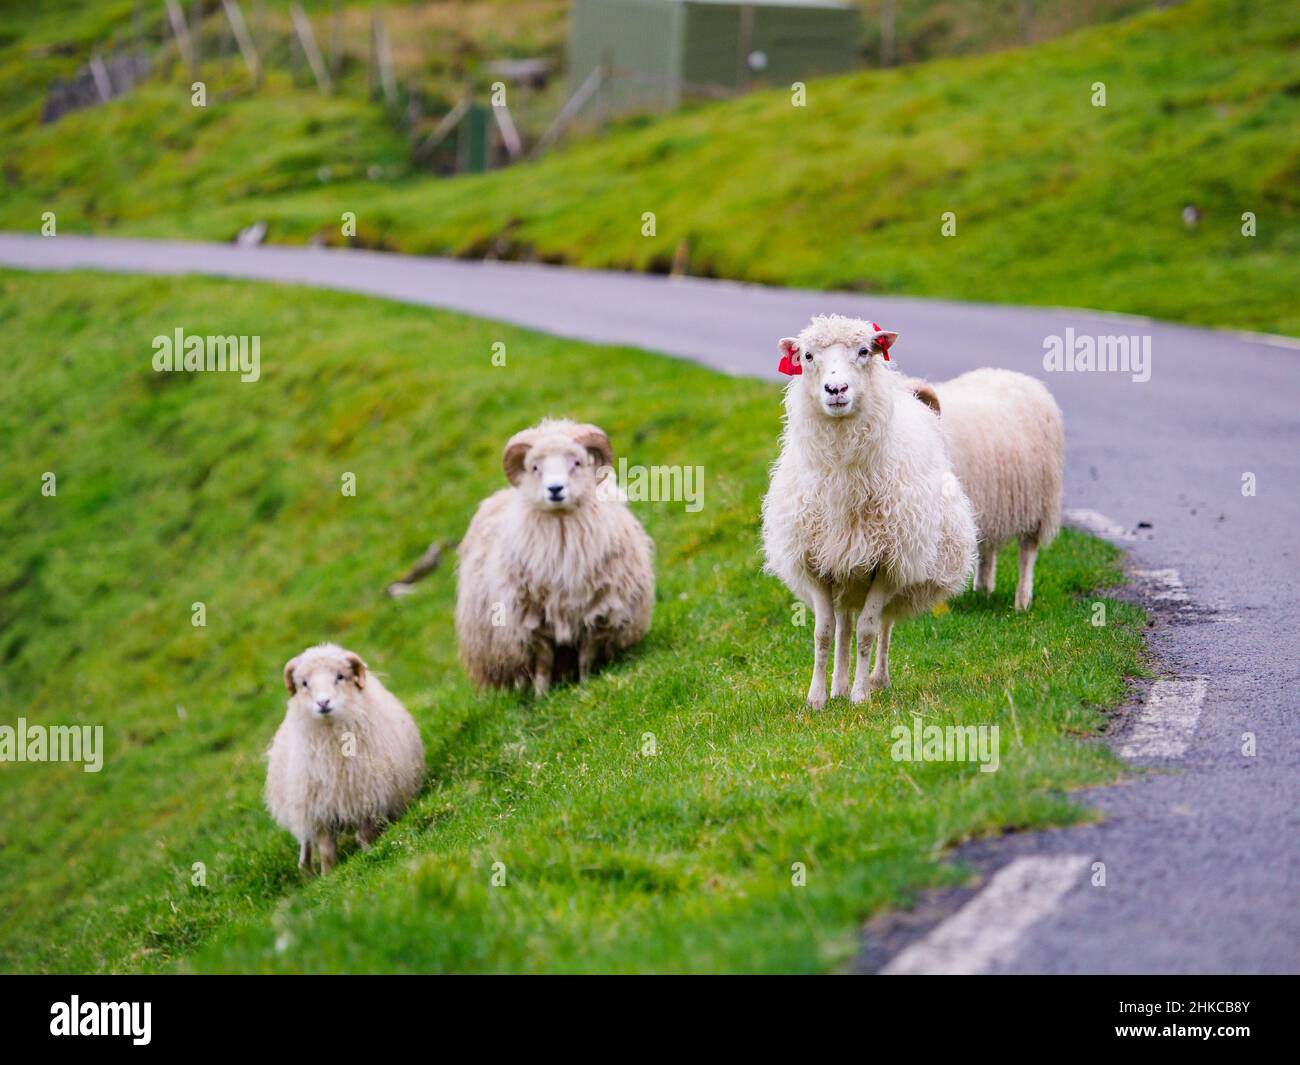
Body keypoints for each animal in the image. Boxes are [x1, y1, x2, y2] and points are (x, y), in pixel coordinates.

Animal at [266, 644, 424, 874]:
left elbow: (365, 834)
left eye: (340, 676)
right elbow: (326, 849)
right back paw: (305, 865)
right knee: (305, 840)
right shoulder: (318, 810)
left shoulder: (368, 798)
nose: (323, 702)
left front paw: (370, 853)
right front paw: (327, 874)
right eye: (304, 683)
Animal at [455, 419, 655, 695]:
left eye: (577, 462)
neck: (562, 539)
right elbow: (543, 662)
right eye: (535, 467)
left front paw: (586, 683)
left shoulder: (597, 612)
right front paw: (542, 696)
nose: (555, 489)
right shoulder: (532, 622)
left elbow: (586, 655)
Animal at [761, 315, 978, 708]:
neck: (842, 475)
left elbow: (868, 631)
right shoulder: (817, 563)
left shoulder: (889, 565)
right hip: (846, 574)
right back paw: (839, 685)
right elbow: (824, 632)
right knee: (844, 625)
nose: (836, 389)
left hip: (900, 567)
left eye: (864, 351)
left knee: (882, 624)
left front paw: (860, 697)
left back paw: (876, 680)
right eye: (807, 355)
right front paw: (817, 698)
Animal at [900, 369, 1064, 611]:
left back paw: (1022, 601)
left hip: (1036, 501)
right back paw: (983, 589)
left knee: (1027, 551)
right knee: (988, 547)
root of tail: (1025, 379)